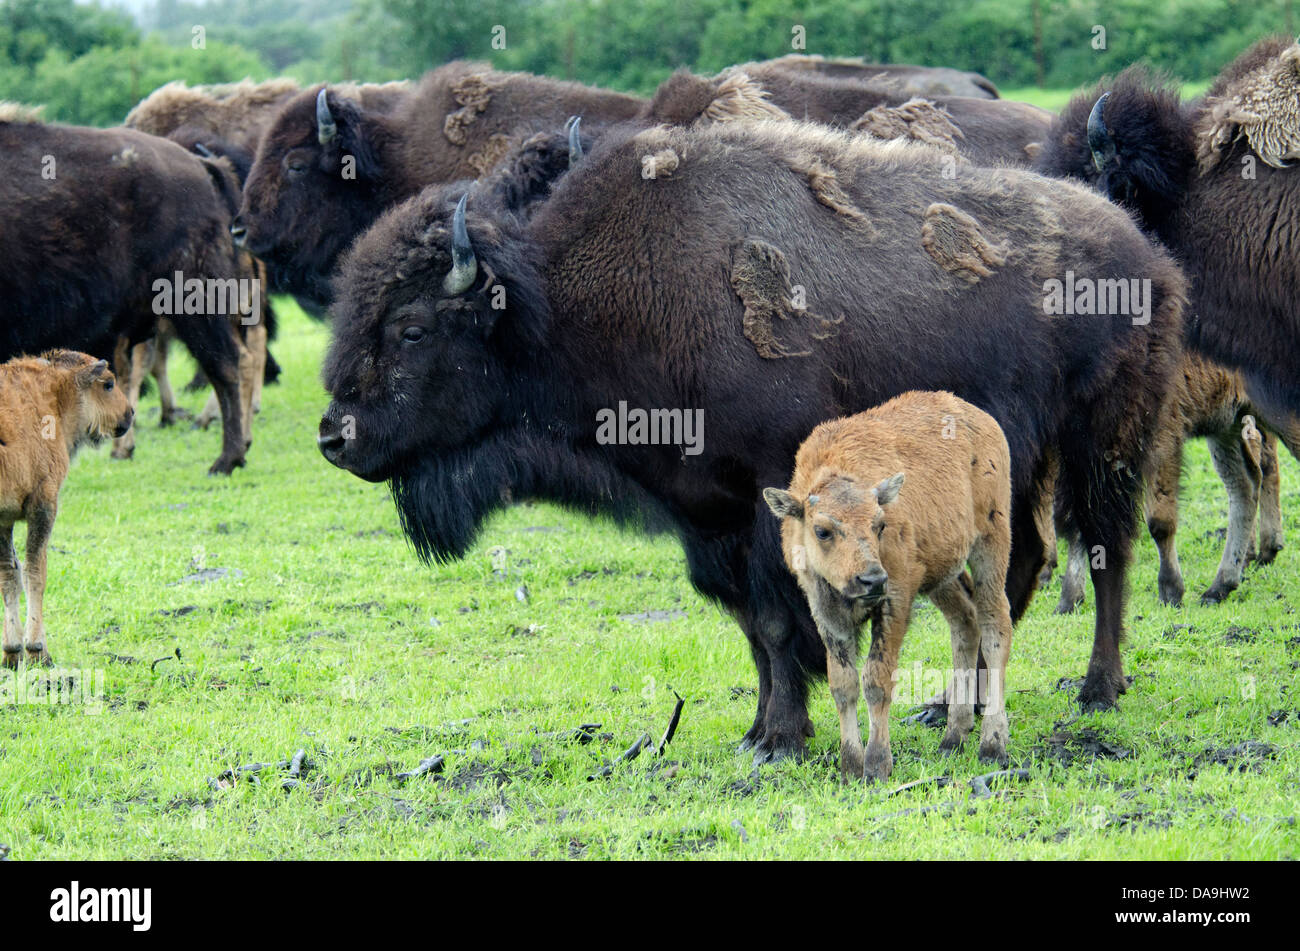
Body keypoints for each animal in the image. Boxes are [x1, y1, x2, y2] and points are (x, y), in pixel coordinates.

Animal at [319, 120, 1185, 760]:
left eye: (410, 326)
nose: (334, 437)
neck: (563, 301)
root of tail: (1146, 254)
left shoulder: (773, 506)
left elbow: (774, 621)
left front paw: (781, 738)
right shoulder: (712, 519)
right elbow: (752, 628)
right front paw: (760, 729)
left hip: (1102, 442)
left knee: (1105, 551)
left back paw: (1098, 687)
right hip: (1016, 464)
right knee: (1016, 570)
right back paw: (950, 704)